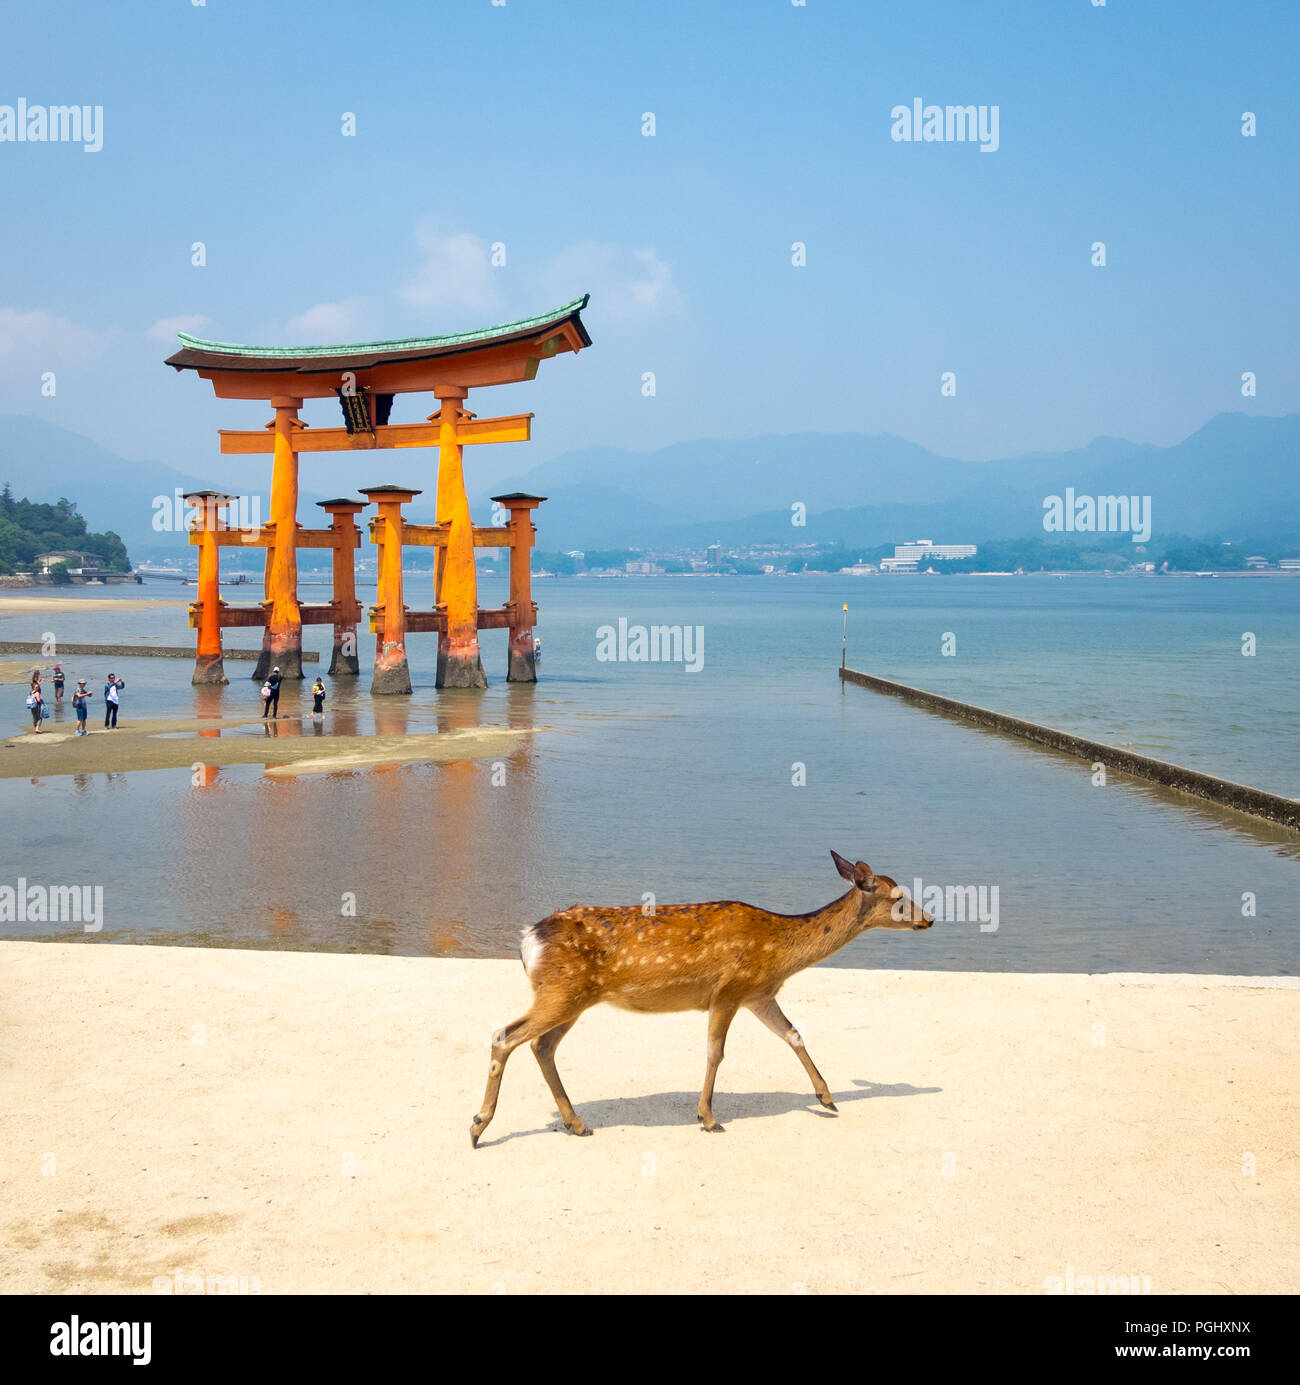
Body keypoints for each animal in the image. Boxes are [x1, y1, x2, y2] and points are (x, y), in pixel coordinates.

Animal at [470, 850, 933, 1146]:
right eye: (898, 898)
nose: (929, 918)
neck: (779, 951)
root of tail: (528, 940)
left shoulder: (759, 994)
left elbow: (794, 1035)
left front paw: (827, 1098)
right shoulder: (728, 990)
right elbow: (715, 1052)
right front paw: (708, 1118)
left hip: (571, 997)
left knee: (540, 1044)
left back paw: (576, 1124)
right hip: (561, 992)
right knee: (505, 1035)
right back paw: (478, 1126)